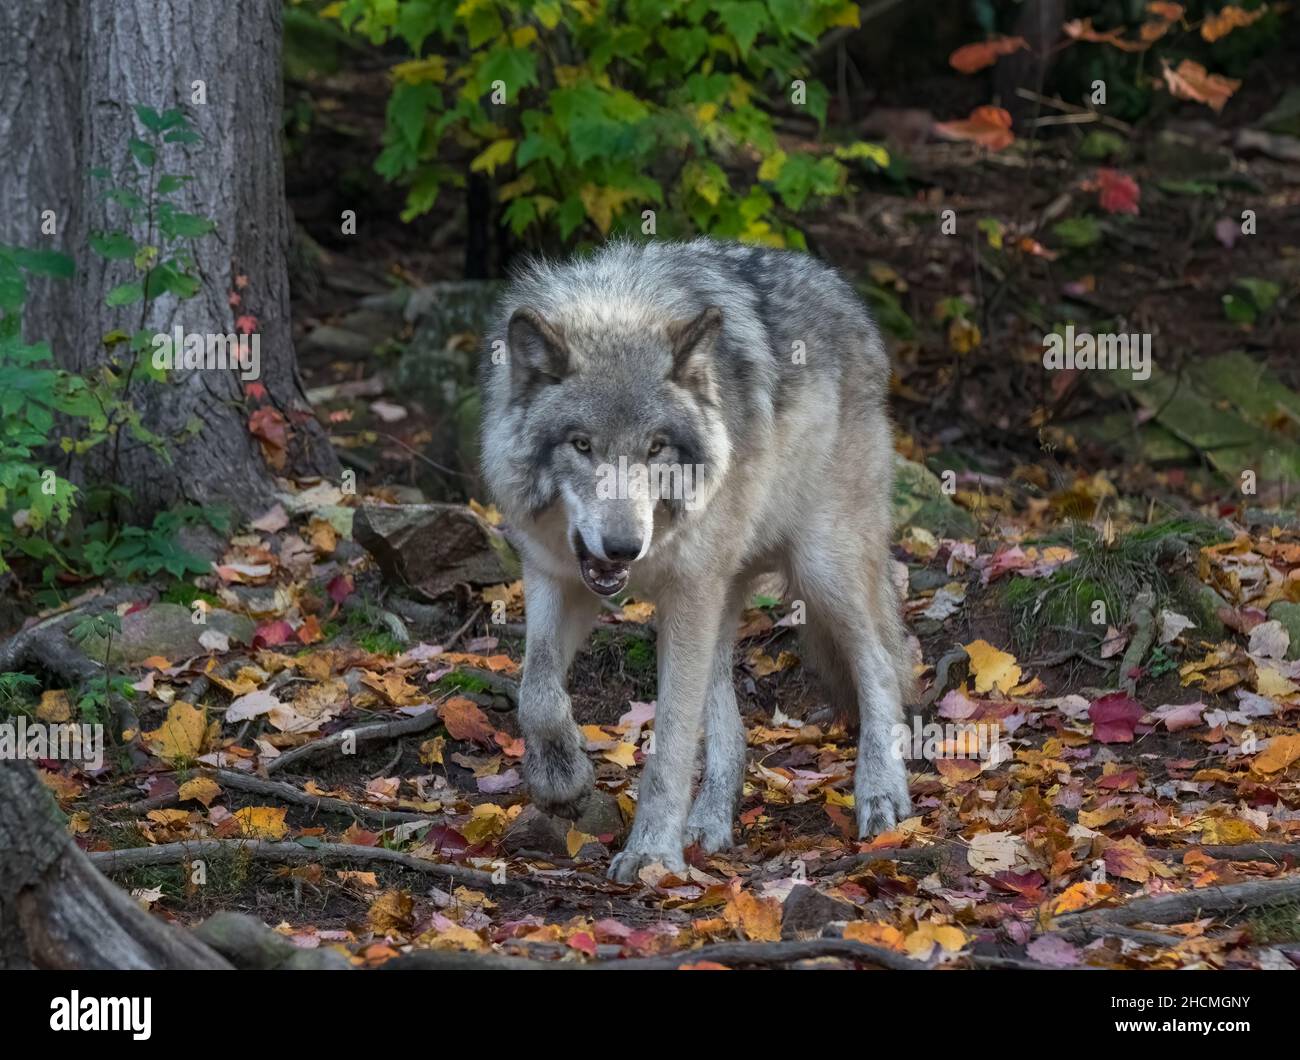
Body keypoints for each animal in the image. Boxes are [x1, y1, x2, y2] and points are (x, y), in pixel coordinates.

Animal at [479, 237, 914, 883]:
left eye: (656, 447)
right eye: (581, 444)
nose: (622, 547)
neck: (620, 308)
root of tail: (843, 293)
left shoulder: (687, 589)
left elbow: (675, 739)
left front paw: (652, 854)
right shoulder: (555, 574)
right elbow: (536, 691)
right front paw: (561, 780)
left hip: (820, 569)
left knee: (881, 665)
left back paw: (881, 796)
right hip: (720, 592)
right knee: (731, 725)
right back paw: (709, 823)